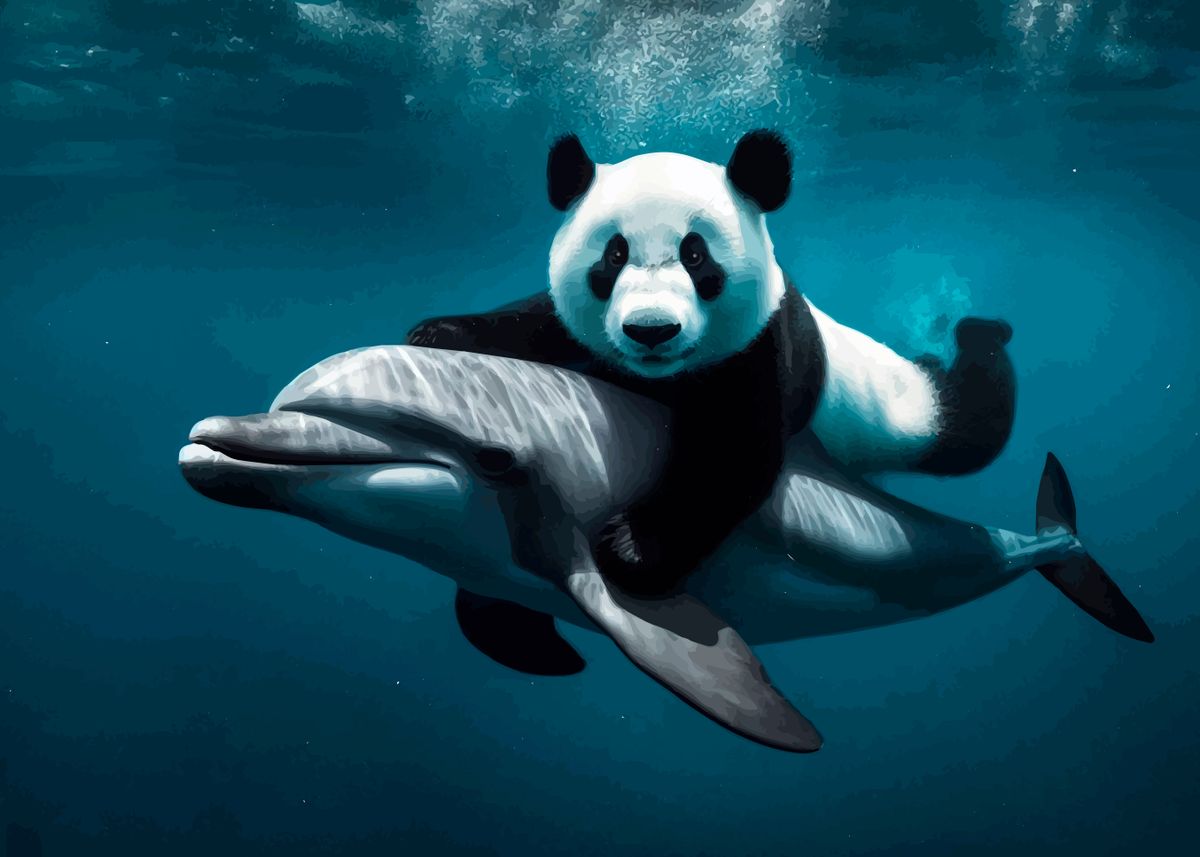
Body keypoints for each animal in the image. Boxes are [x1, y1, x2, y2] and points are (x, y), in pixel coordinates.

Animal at [408, 130, 1016, 605]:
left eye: (696, 256)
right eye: (613, 255)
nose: (651, 330)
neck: (661, 378)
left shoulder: (760, 347)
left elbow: (734, 454)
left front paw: (631, 549)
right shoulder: (577, 327)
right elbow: (535, 321)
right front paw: (438, 335)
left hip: (894, 411)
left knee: (965, 428)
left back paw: (979, 332)